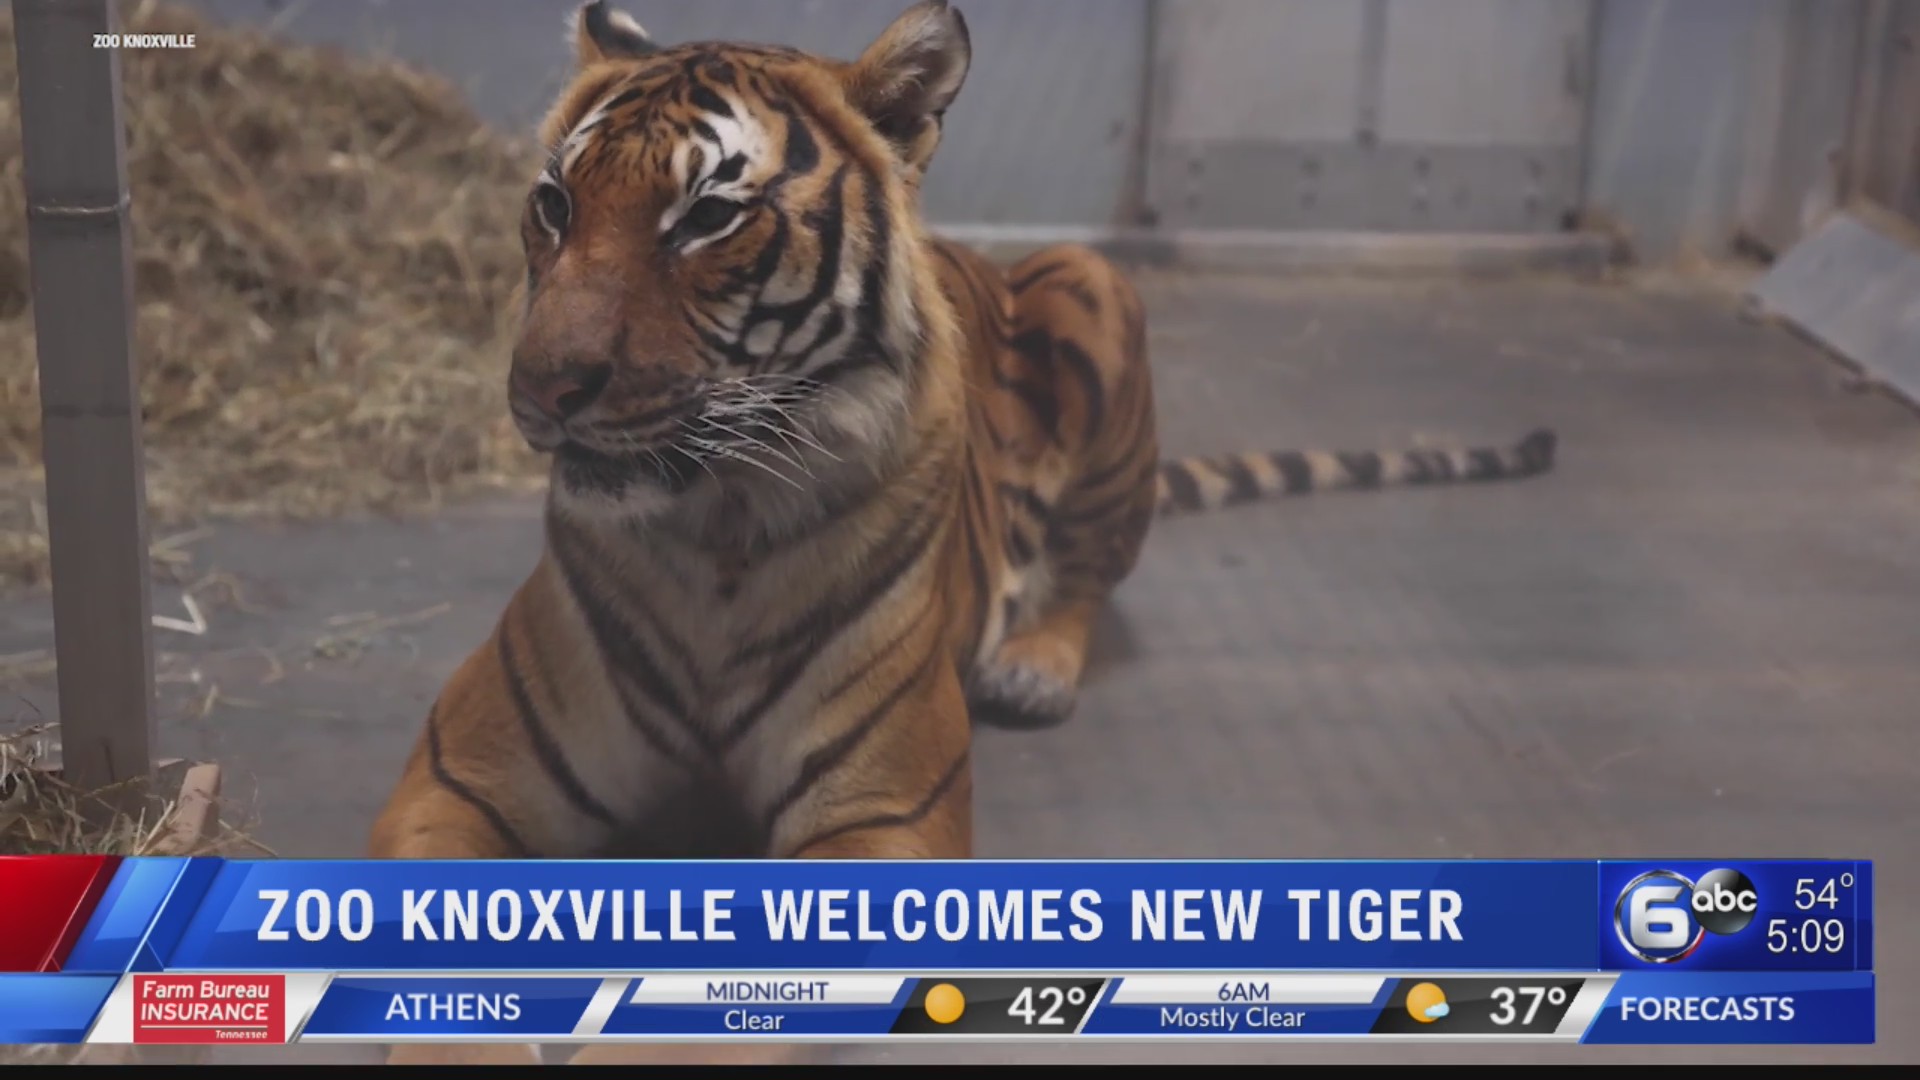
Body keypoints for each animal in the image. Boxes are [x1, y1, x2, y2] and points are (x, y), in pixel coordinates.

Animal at [368, 0, 1554, 1065]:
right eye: (554, 203)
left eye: (706, 217)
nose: (542, 389)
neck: (717, 528)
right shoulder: (461, 780)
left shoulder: (881, 819)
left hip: (1096, 287)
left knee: (1087, 575)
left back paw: (1030, 668)